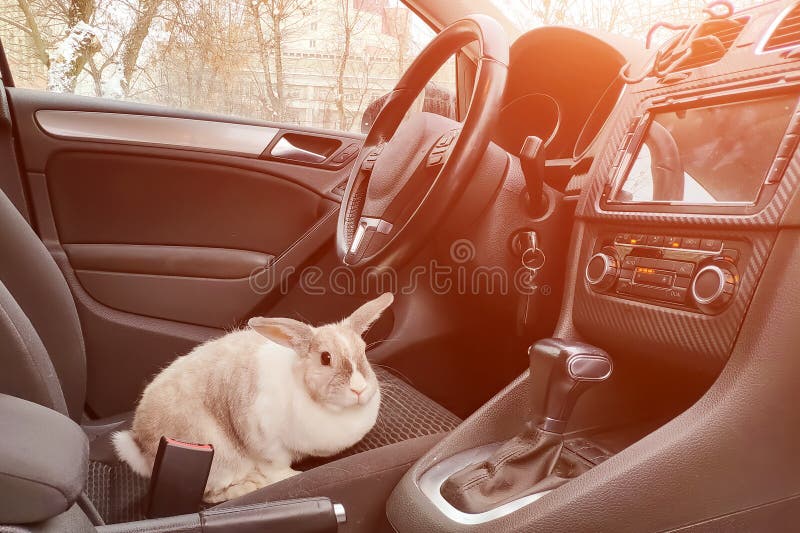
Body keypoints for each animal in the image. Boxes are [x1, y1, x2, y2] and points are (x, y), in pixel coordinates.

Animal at [112, 292, 393, 503]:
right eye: (326, 358)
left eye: (363, 351)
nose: (359, 389)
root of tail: (141, 445)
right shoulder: (268, 445)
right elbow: (276, 467)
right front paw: (289, 477)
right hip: (215, 459)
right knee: (210, 495)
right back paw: (251, 486)